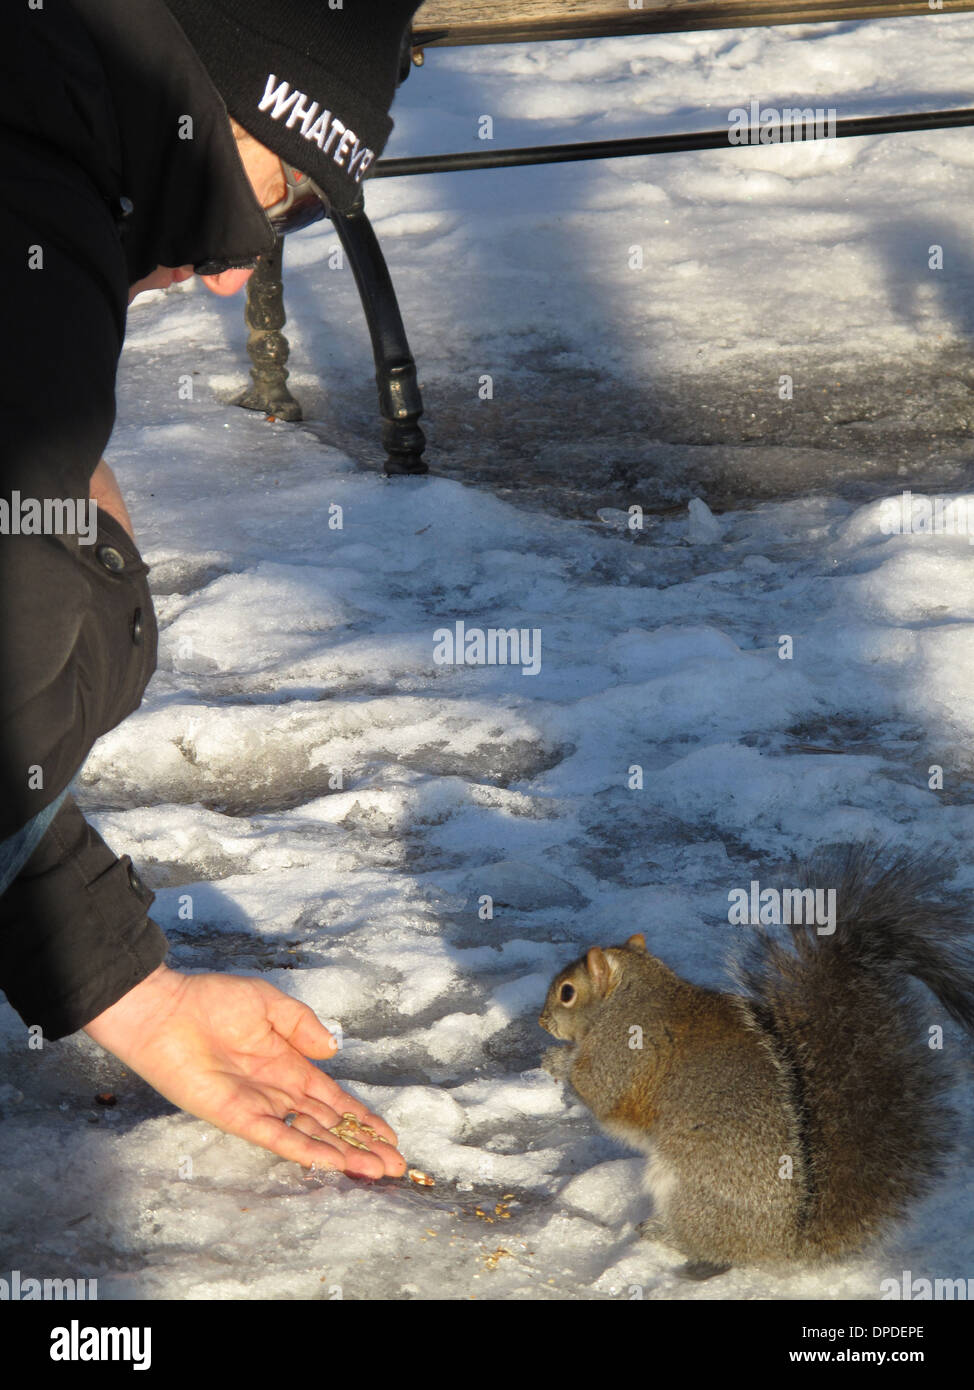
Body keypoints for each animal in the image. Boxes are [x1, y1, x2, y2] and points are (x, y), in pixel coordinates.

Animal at [539, 843, 974, 1279]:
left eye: (567, 992)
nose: (542, 1021)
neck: (631, 993)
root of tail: (784, 1247)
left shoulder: (624, 1048)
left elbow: (600, 1089)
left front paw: (558, 1060)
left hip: (689, 1184)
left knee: (707, 1241)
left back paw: (664, 1233)